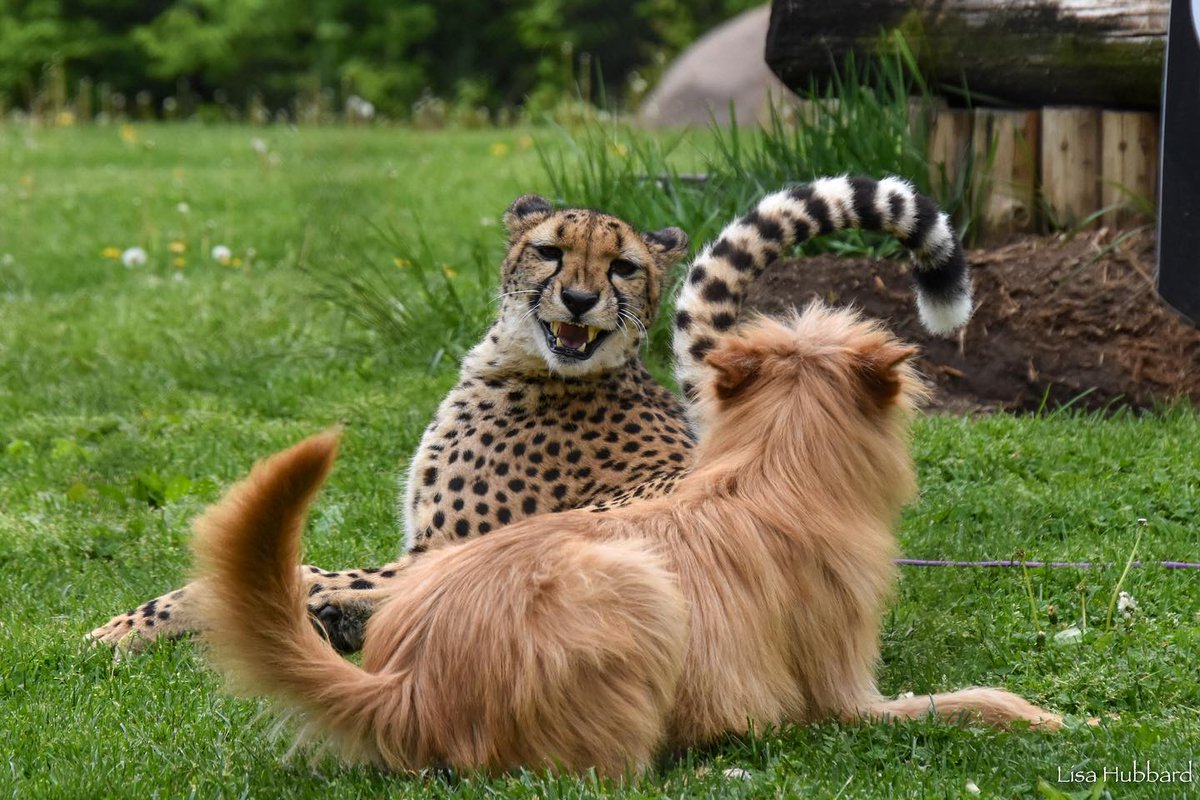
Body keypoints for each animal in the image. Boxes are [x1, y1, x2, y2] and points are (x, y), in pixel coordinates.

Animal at [89, 175, 972, 654]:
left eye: (621, 267)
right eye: (549, 251)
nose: (578, 299)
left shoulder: (434, 550)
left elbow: (268, 573)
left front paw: (120, 629)